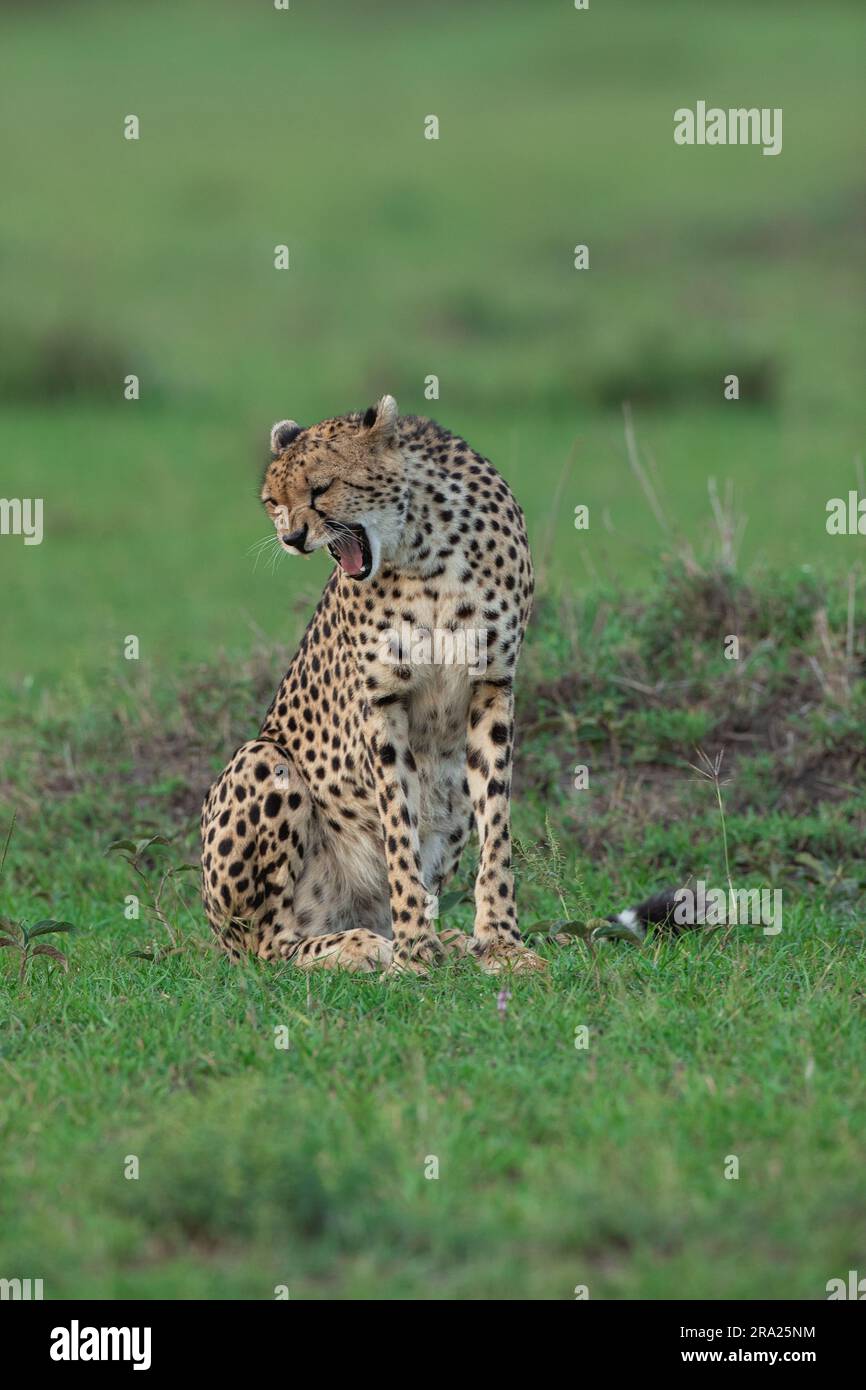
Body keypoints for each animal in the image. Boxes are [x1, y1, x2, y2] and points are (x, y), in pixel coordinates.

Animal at [200, 395, 547, 977]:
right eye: (273, 501)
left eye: (321, 488)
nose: (292, 538)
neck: (425, 548)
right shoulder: (383, 701)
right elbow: (398, 826)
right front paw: (414, 951)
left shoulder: (492, 685)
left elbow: (495, 826)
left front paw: (500, 941)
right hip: (262, 759)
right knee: (266, 947)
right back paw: (359, 945)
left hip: (451, 794)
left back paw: (445, 939)